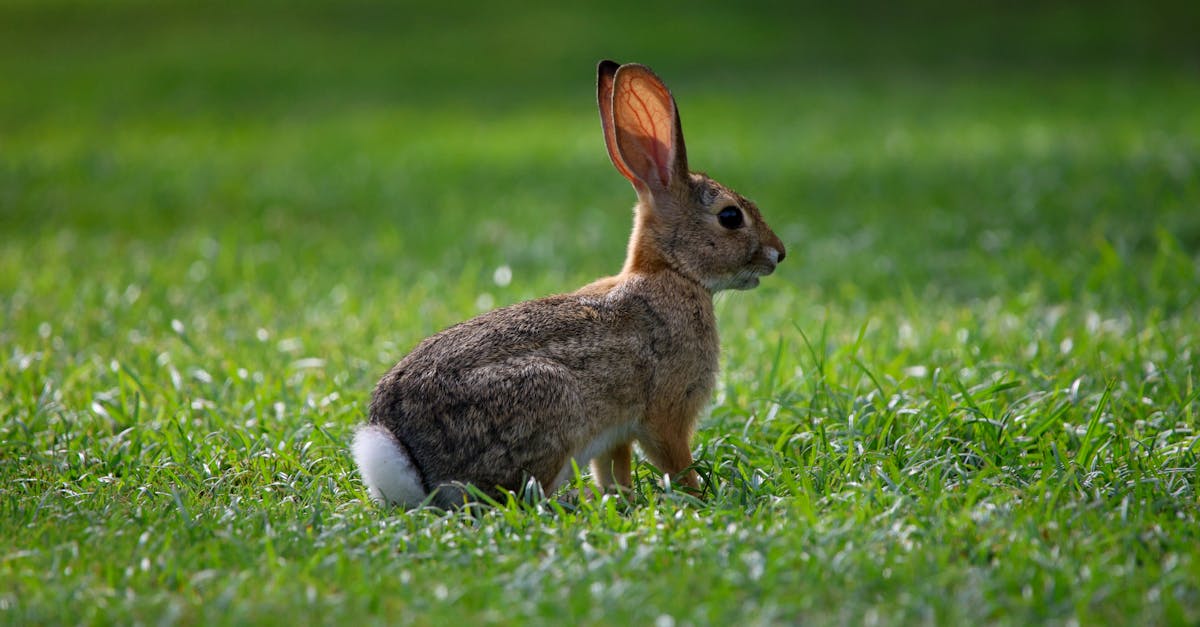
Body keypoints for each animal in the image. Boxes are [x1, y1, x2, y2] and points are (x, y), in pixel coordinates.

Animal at [352, 59, 787, 506]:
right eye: (730, 217)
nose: (778, 254)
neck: (671, 271)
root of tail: (409, 462)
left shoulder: (615, 435)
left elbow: (614, 467)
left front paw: (623, 499)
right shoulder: (666, 411)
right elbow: (675, 460)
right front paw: (697, 496)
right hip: (549, 406)